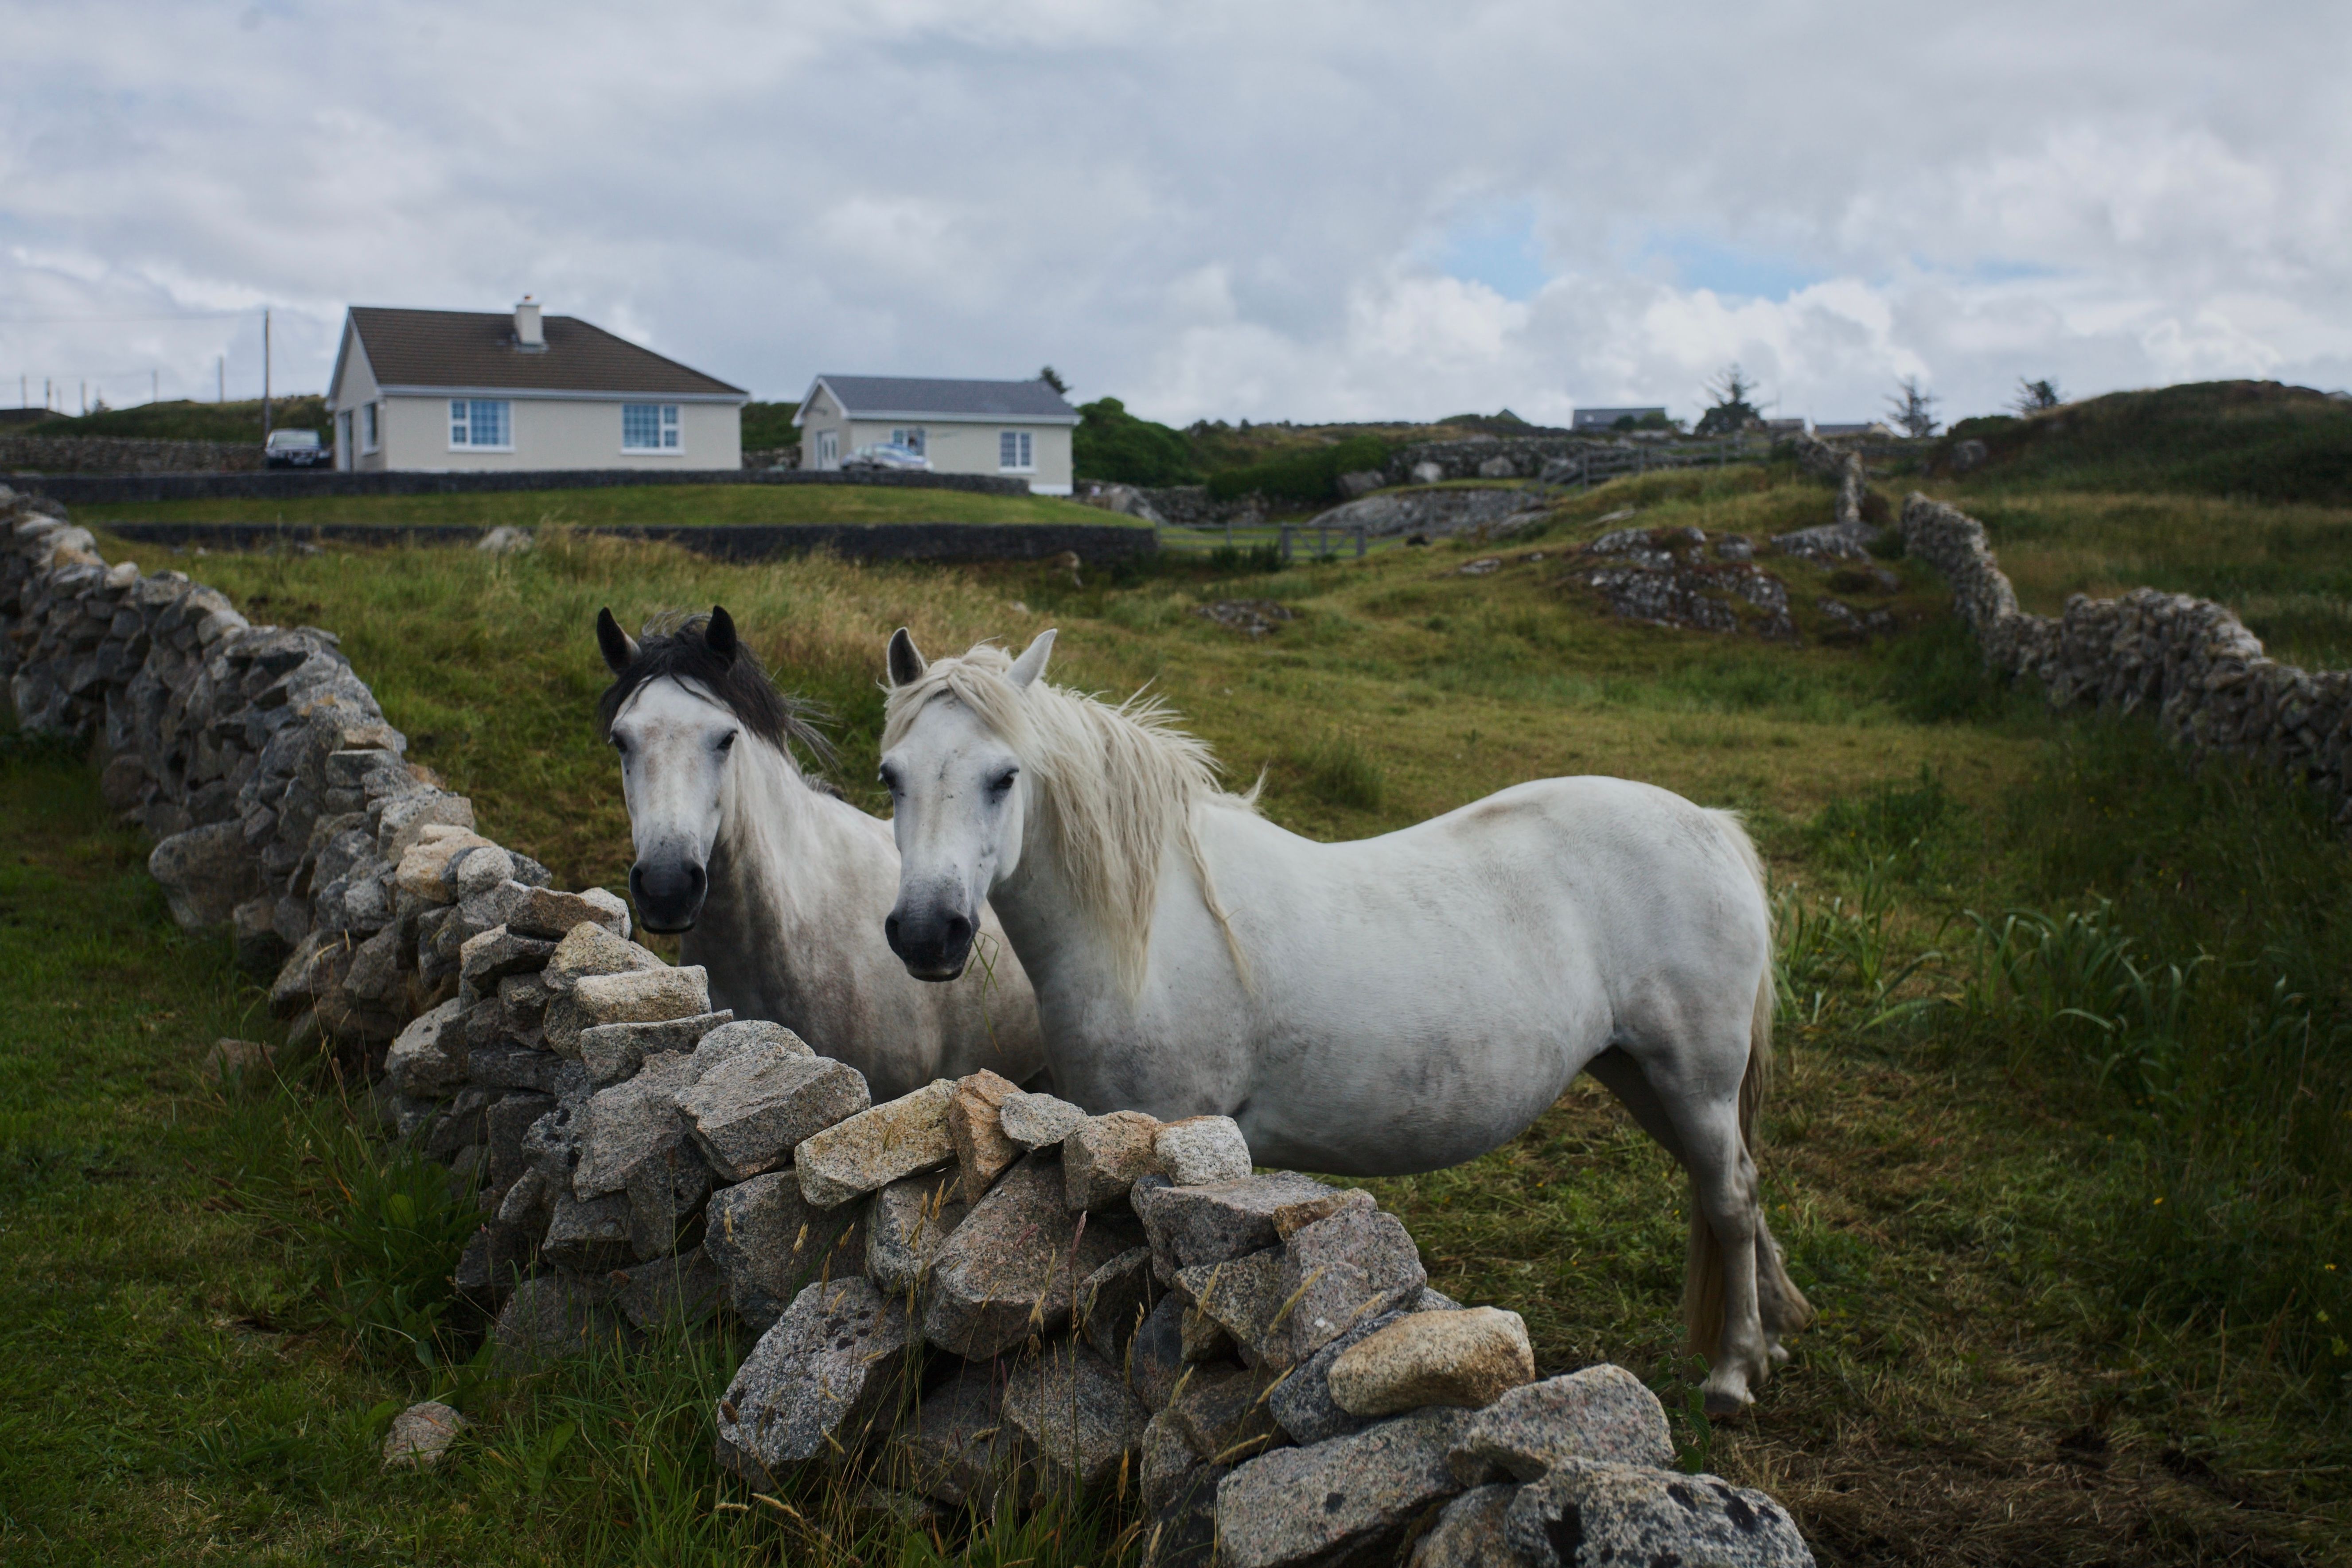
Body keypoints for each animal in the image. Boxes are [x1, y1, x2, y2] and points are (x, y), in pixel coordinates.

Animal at [873, 626, 1812, 1413]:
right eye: (891, 775)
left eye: (1004, 775)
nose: (926, 932)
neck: (1146, 929)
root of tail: (1708, 826)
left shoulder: (1174, 1141)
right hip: (1644, 1077)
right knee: (1729, 1185)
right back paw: (1770, 1337)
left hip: (1694, 1077)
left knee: (1728, 1197)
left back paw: (1733, 1374)